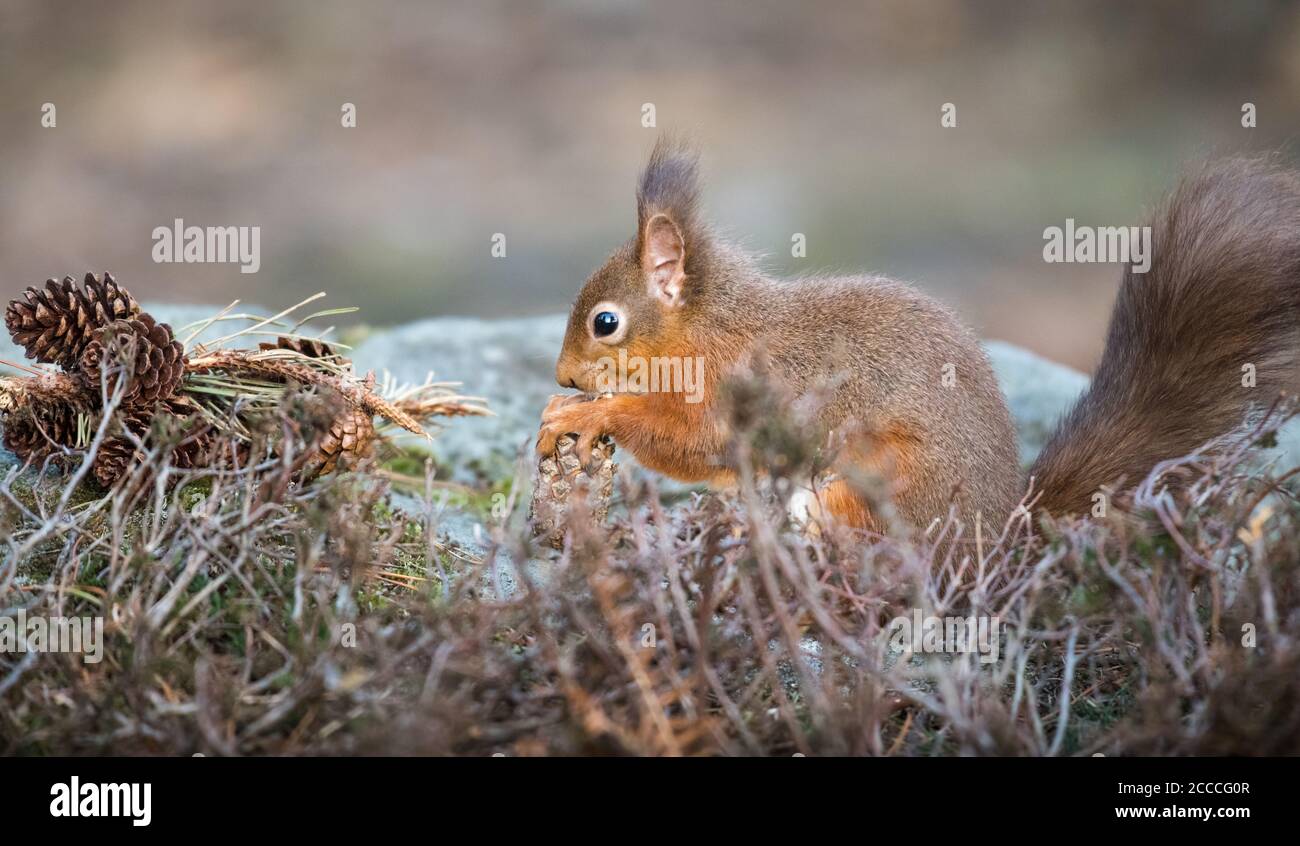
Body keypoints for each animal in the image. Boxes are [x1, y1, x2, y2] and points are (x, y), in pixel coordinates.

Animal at [538, 138, 1300, 534]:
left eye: (605, 322)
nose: (565, 377)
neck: (707, 330)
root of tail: (994, 543)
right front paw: (561, 409)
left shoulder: (741, 397)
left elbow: (689, 444)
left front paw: (590, 413)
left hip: (876, 484)